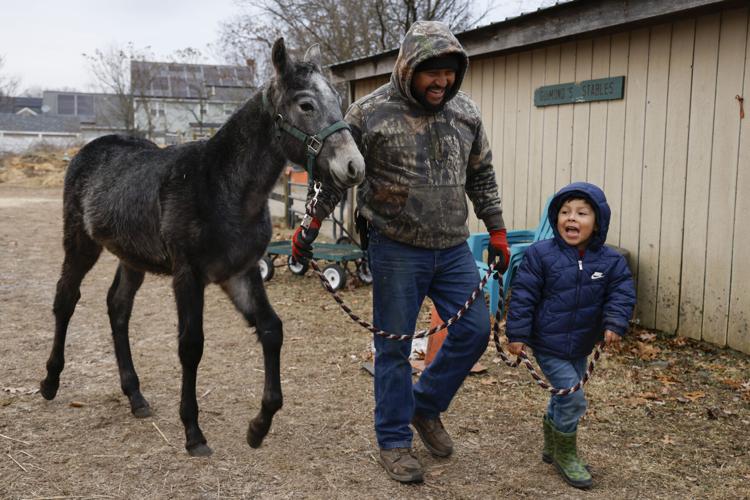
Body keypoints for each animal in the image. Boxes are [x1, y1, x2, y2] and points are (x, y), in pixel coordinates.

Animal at [39, 38, 365, 457]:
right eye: (305, 104)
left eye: (338, 101)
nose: (354, 166)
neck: (223, 188)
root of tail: (89, 148)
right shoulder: (188, 275)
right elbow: (191, 345)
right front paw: (194, 433)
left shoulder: (240, 272)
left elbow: (271, 329)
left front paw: (259, 426)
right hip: (80, 242)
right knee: (66, 298)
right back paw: (50, 381)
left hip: (132, 257)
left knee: (118, 307)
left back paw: (135, 396)